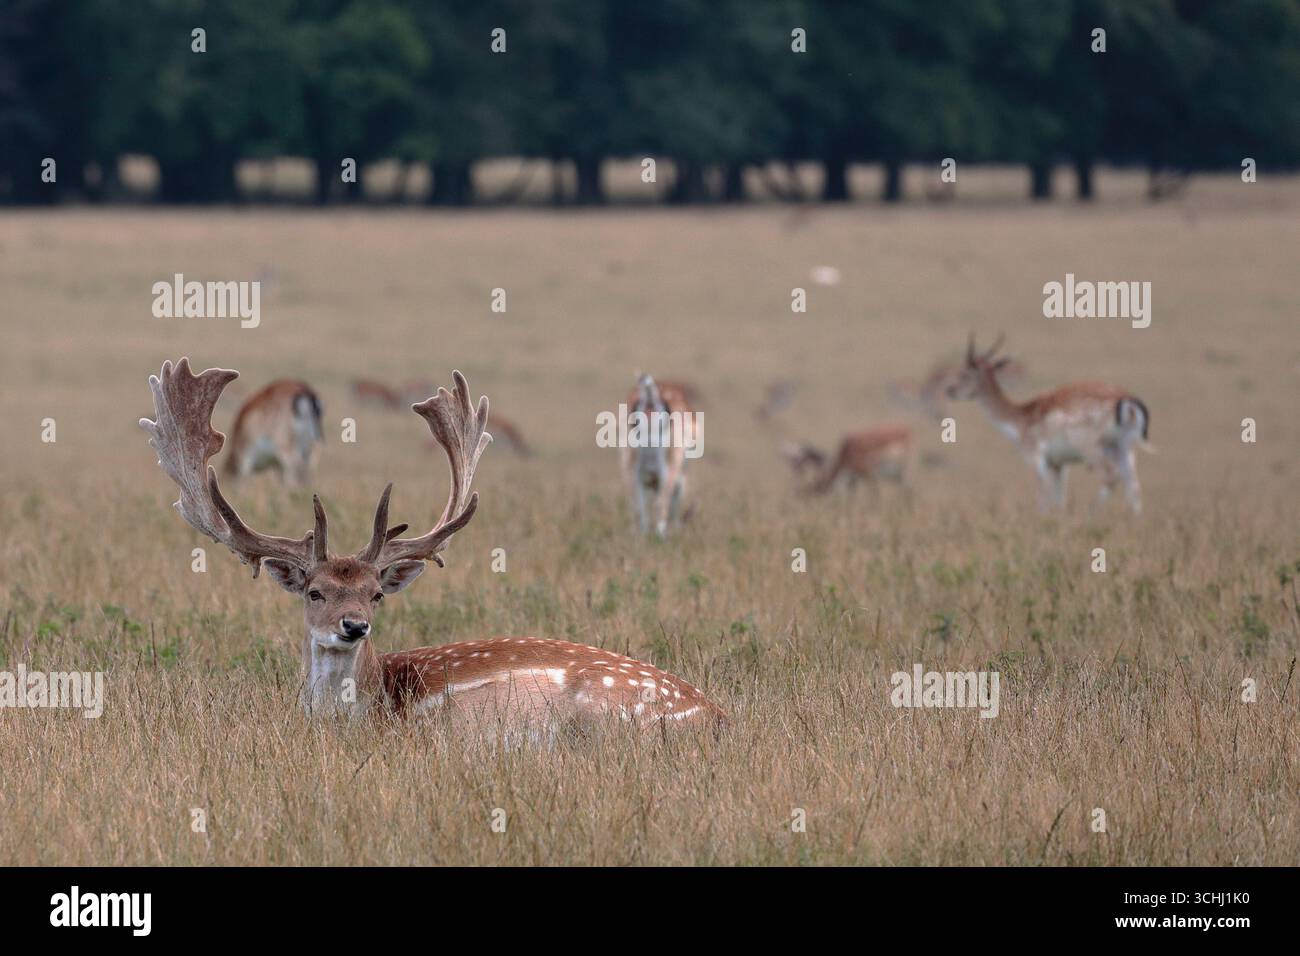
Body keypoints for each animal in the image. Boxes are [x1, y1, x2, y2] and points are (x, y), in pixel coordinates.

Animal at [620, 374, 699, 537]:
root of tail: (650, 397)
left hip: (631, 470)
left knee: (640, 507)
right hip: (668, 470)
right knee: (661, 503)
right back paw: (661, 536)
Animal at [946, 335, 1151, 513]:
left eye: (965, 373)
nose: (950, 390)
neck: (1020, 417)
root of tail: (1125, 398)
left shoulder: (1037, 458)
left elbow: (1043, 493)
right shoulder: (1058, 464)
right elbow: (1059, 497)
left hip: (1092, 448)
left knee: (1111, 476)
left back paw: (1091, 514)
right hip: (1124, 448)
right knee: (1133, 484)